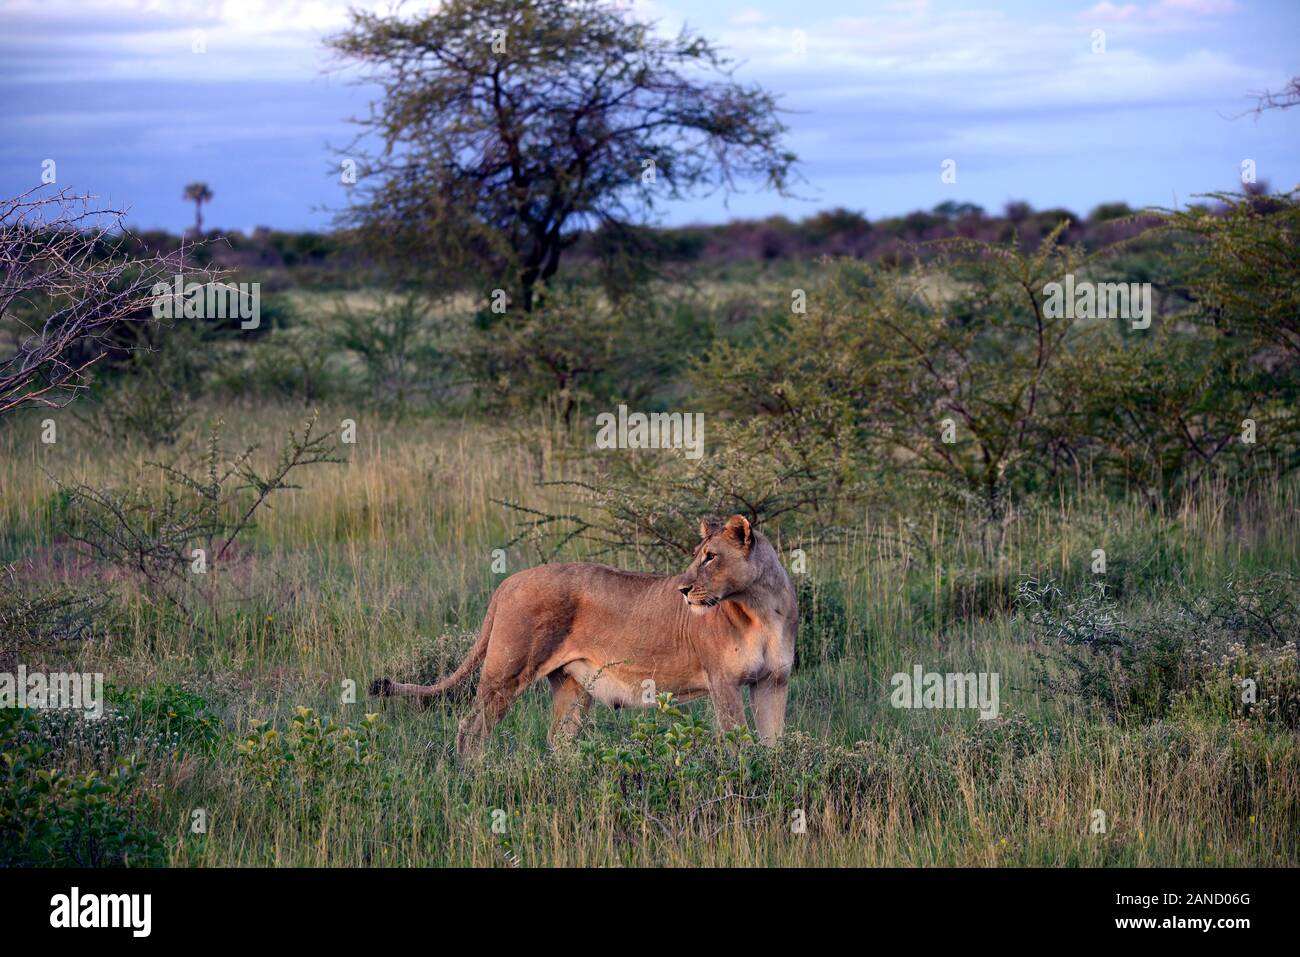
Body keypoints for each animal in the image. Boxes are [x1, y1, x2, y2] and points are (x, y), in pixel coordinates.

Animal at [370, 514, 798, 759]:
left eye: (711, 556)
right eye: (697, 554)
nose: (682, 589)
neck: (759, 608)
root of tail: (508, 582)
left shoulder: (774, 682)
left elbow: (772, 741)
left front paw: (775, 775)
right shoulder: (722, 682)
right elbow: (740, 744)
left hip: (573, 685)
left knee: (558, 740)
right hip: (506, 672)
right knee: (471, 729)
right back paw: (474, 778)